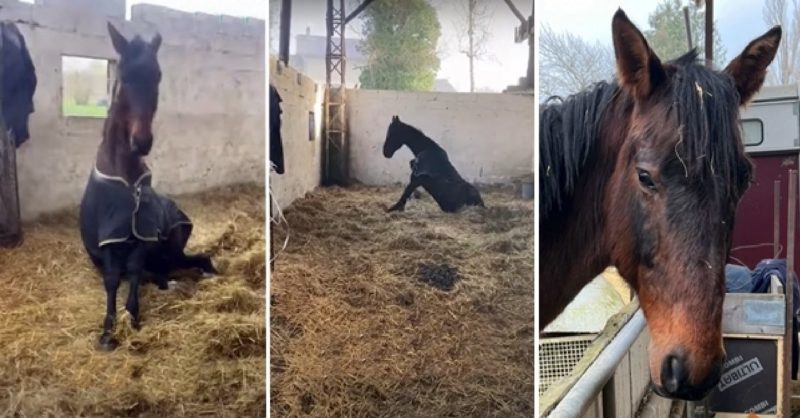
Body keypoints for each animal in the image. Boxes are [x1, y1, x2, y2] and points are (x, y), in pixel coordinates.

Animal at [79, 23, 216, 351]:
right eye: (124, 76)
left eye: (157, 75)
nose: (141, 142)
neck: (127, 179)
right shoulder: (111, 240)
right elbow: (113, 279)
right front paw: (108, 331)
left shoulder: (142, 235)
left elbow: (134, 269)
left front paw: (132, 316)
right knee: (167, 269)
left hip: (170, 247)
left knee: (190, 260)